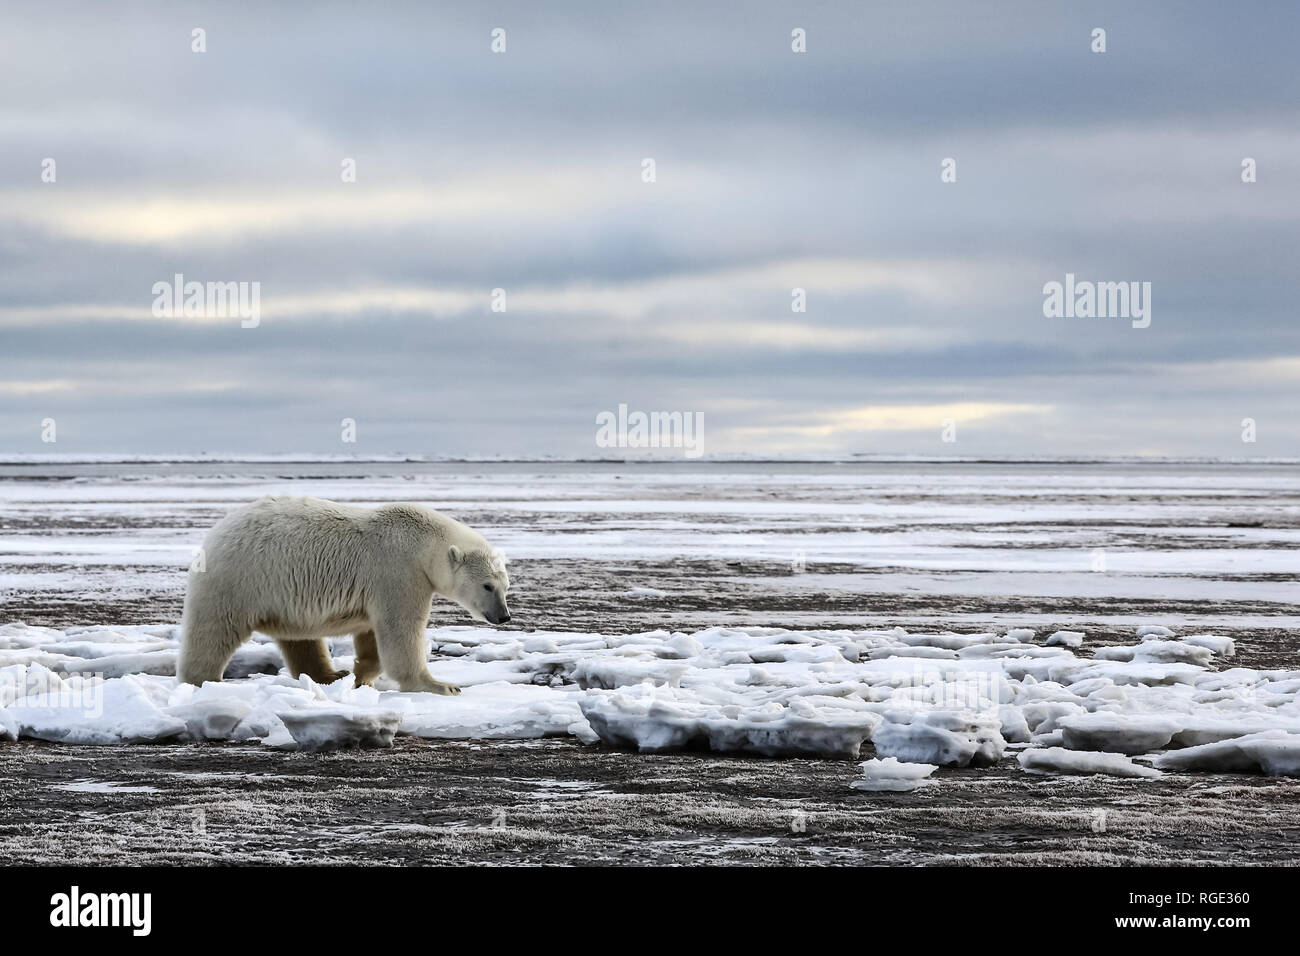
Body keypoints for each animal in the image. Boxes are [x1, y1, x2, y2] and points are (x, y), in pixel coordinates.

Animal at [178, 496, 510, 694]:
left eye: (506, 585)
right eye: (487, 586)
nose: (504, 616)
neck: (422, 542)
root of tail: (215, 532)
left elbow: (372, 635)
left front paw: (361, 675)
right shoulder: (399, 572)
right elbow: (401, 630)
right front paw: (440, 686)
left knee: (300, 638)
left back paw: (331, 675)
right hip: (237, 580)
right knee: (212, 631)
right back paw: (202, 681)